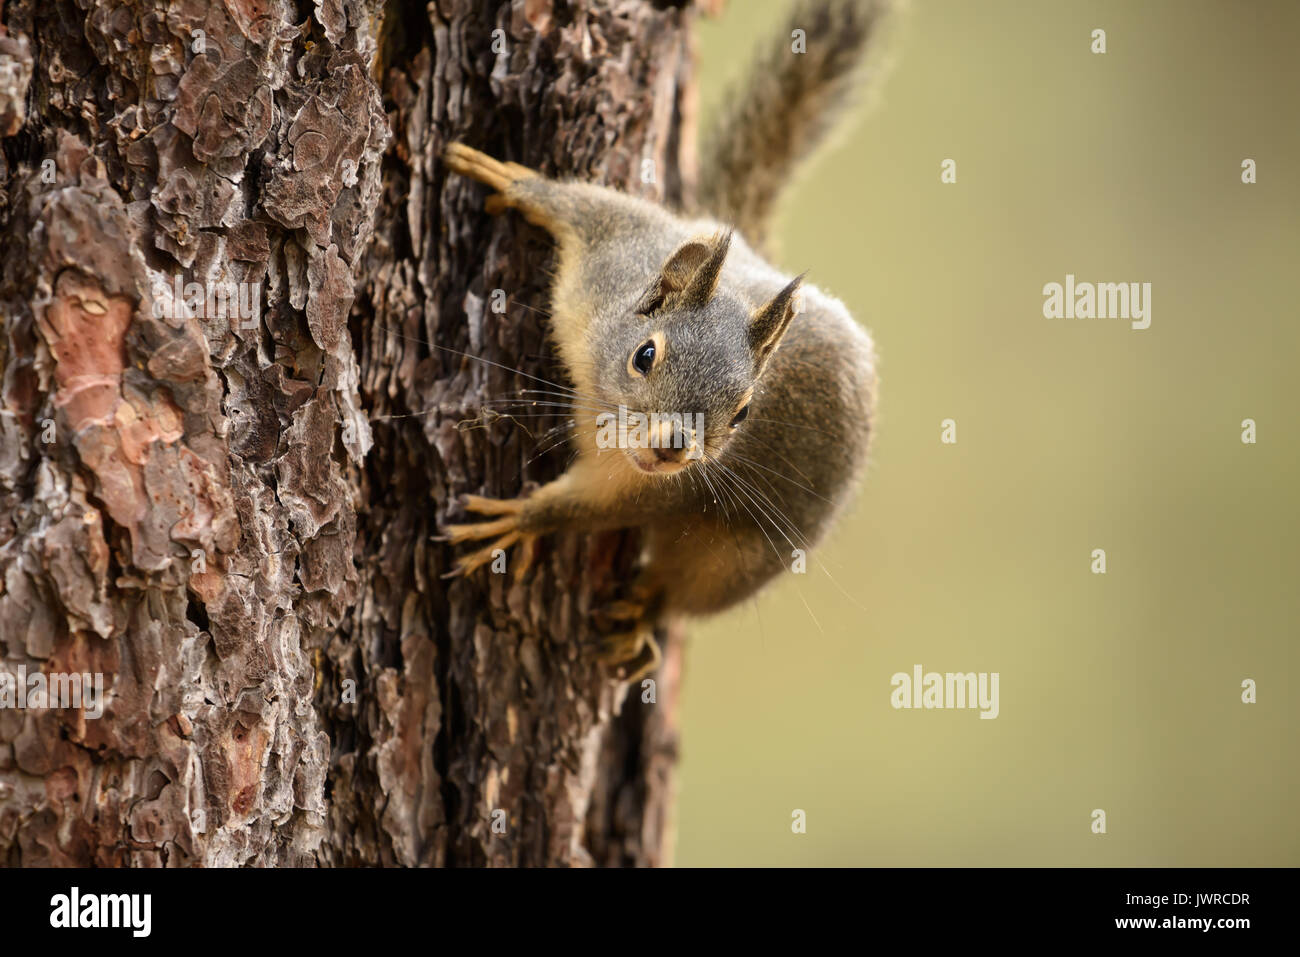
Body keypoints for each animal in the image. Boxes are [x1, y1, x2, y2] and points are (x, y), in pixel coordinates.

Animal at [440, 0, 888, 680]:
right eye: (644, 355)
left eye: (744, 413)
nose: (673, 450)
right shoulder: (613, 249)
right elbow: (579, 206)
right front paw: (514, 182)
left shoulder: (651, 489)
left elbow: (590, 508)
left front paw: (521, 520)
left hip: (736, 561)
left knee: (681, 591)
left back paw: (644, 614)